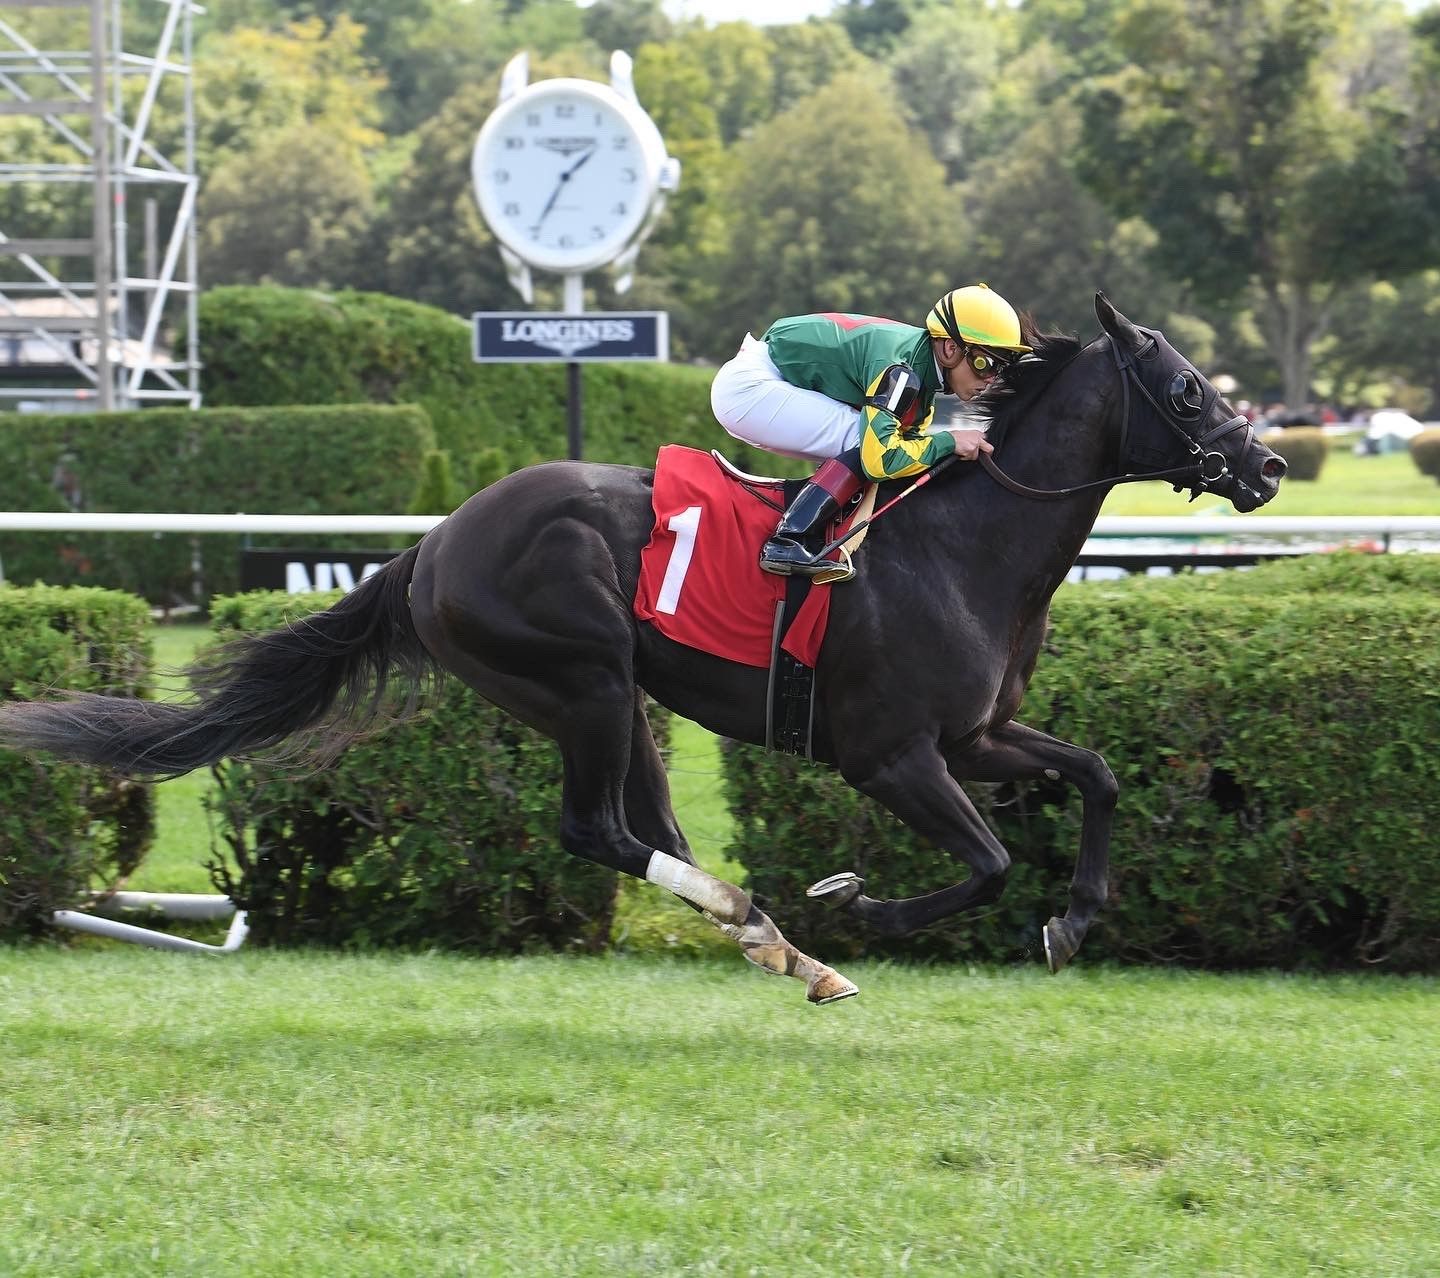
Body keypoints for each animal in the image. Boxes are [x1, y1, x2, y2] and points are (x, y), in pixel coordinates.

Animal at [0, 294, 1285, 1004]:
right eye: (1184, 388)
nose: (1268, 465)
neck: (964, 548)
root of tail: (435, 542)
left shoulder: (979, 734)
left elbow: (1098, 776)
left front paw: (1075, 919)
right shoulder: (893, 756)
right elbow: (986, 863)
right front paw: (862, 903)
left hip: (617, 701)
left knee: (647, 830)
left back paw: (776, 943)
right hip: (583, 678)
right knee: (597, 831)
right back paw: (777, 927)